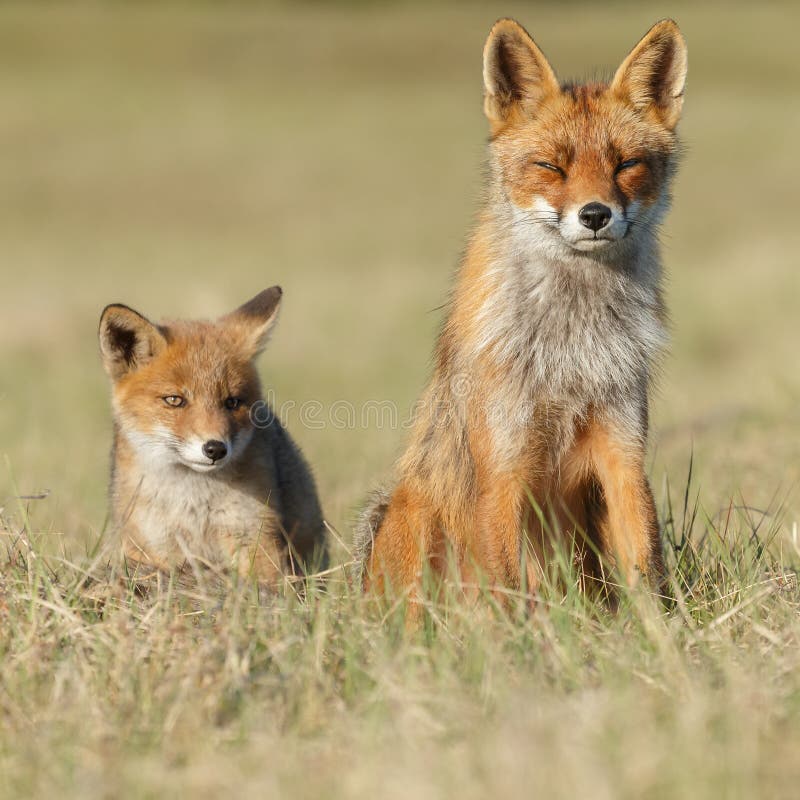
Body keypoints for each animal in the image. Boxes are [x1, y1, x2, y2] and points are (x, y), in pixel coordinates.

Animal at [98, 286, 326, 583]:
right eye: (174, 400)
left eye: (232, 402)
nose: (215, 449)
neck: (191, 500)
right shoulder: (156, 545)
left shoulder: (254, 533)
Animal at [356, 19, 687, 604]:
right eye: (550, 166)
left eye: (627, 165)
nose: (595, 214)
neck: (572, 350)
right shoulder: (504, 464)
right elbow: (507, 587)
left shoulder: (622, 448)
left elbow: (645, 560)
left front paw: (662, 626)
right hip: (416, 517)